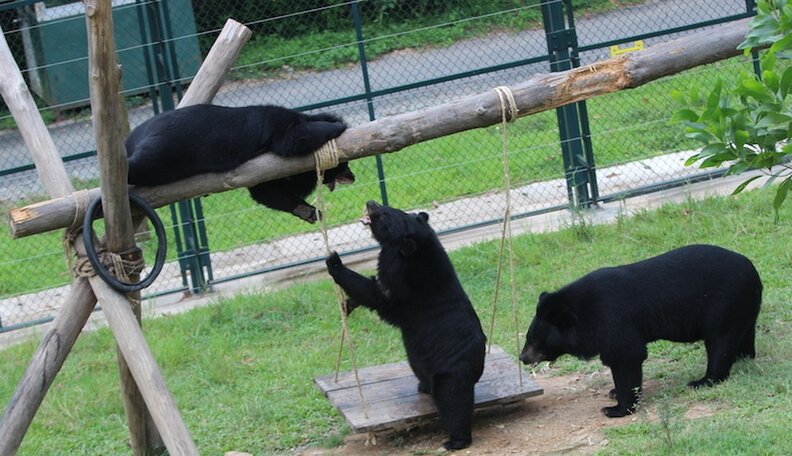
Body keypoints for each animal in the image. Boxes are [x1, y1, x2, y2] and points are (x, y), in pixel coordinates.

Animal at [125, 103, 352, 222]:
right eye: (345, 164)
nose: (352, 176)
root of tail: (134, 138)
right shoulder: (279, 125)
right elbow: (294, 138)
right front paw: (338, 126)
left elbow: (266, 192)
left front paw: (308, 211)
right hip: (164, 152)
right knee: (138, 166)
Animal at [325, 201, 486, 450]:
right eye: (391, 207)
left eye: (384, 215)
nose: (370, 202)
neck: (414, 255)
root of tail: (479, 367)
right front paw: (347, 304)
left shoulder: (408, 294)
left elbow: (378, 296)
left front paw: (334, 261)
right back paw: (423, 388)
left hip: (451, 371)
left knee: (454, 402)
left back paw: (455, 441)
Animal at [519, 244, 762, 418]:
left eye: (534, 340)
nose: (522, 357)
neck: (582, 316)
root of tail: (752, 270)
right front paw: (613, 392)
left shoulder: (613, 320)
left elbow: (626, 357)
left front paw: (615, 408)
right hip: (740, 305)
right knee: (744, 334)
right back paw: (743, 357)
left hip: (723, 304)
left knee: (720, 342)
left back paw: (703, 381)